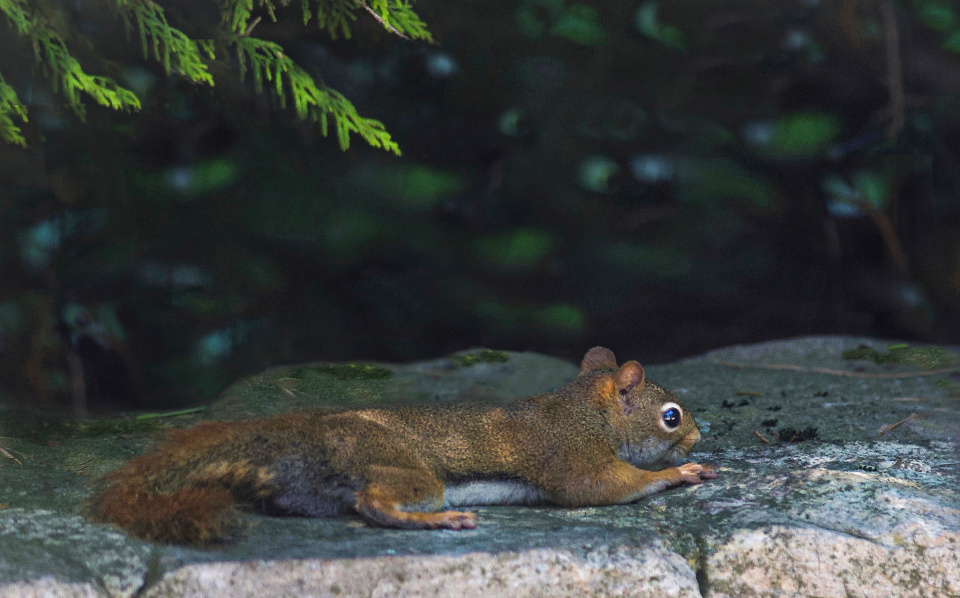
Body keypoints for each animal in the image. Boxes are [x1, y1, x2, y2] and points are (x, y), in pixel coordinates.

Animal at [89, 347, 716, 545]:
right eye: (670, 418)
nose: (696, 435)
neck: (584, 411)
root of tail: (297, 435)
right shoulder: (571, 456)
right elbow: (600, 486)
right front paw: (680, 472)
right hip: (410, 473)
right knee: (374, 504)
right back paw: (437, 521)